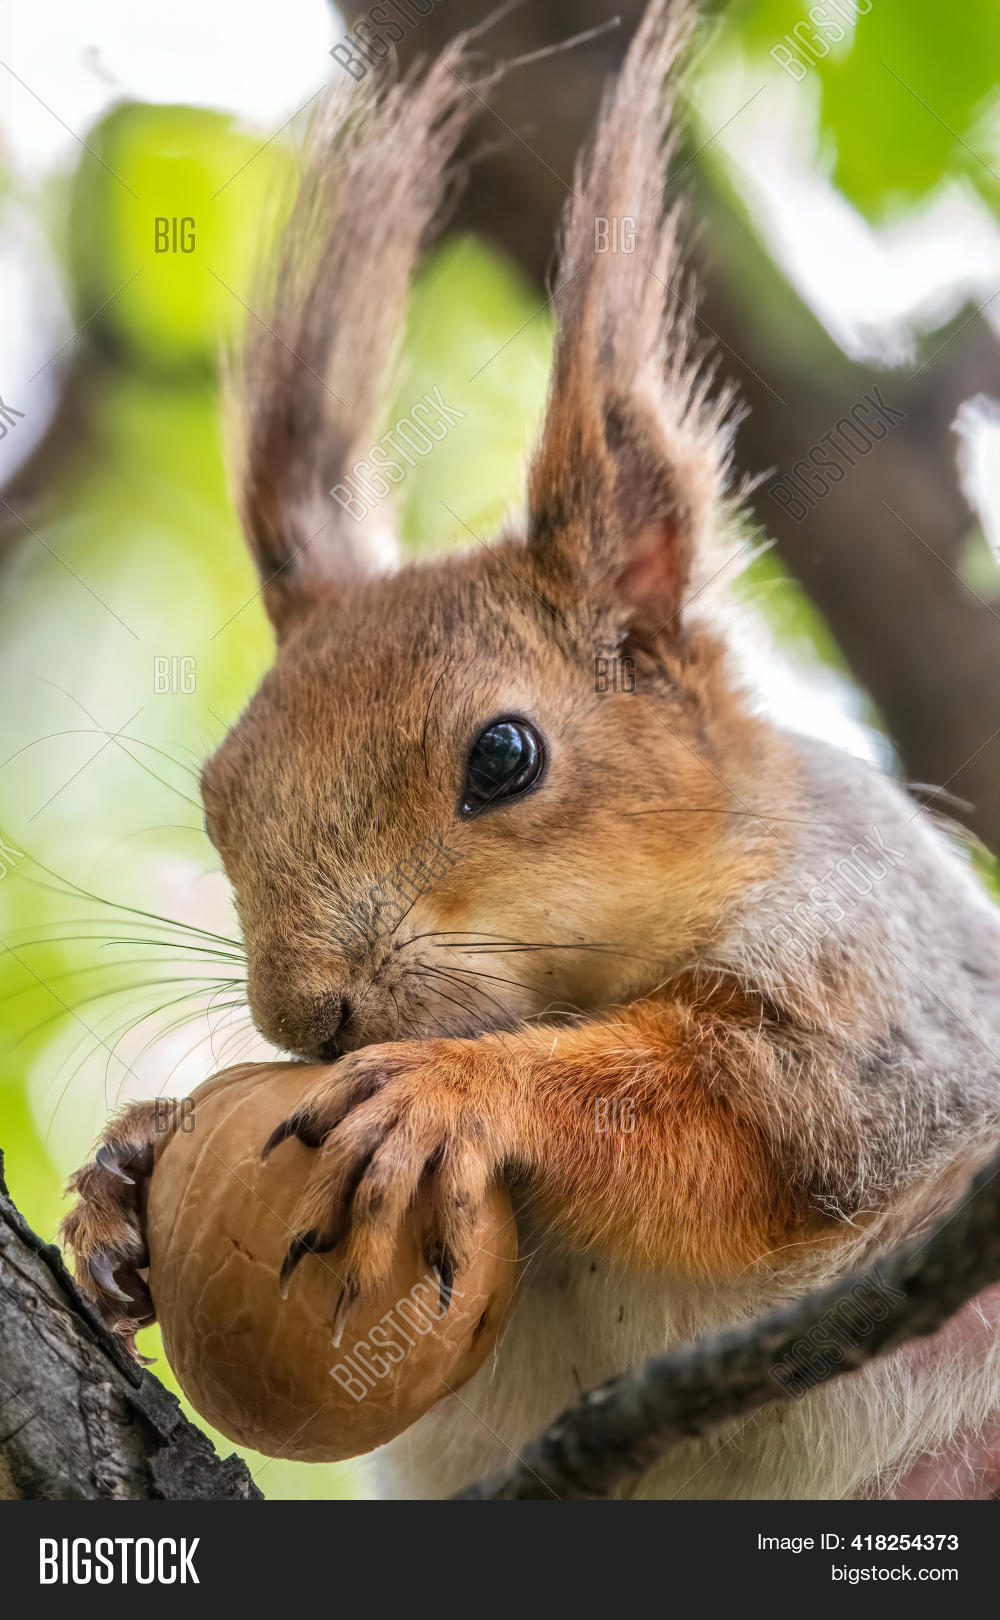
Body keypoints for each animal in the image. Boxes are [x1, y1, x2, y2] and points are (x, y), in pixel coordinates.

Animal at [61, 0, 1000, 1499]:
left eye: (503, 757)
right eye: (216, 796)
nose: (308, 1015)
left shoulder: (882, 1010)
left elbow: (754, 1126)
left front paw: (465, 1089)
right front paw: (126, 1169)